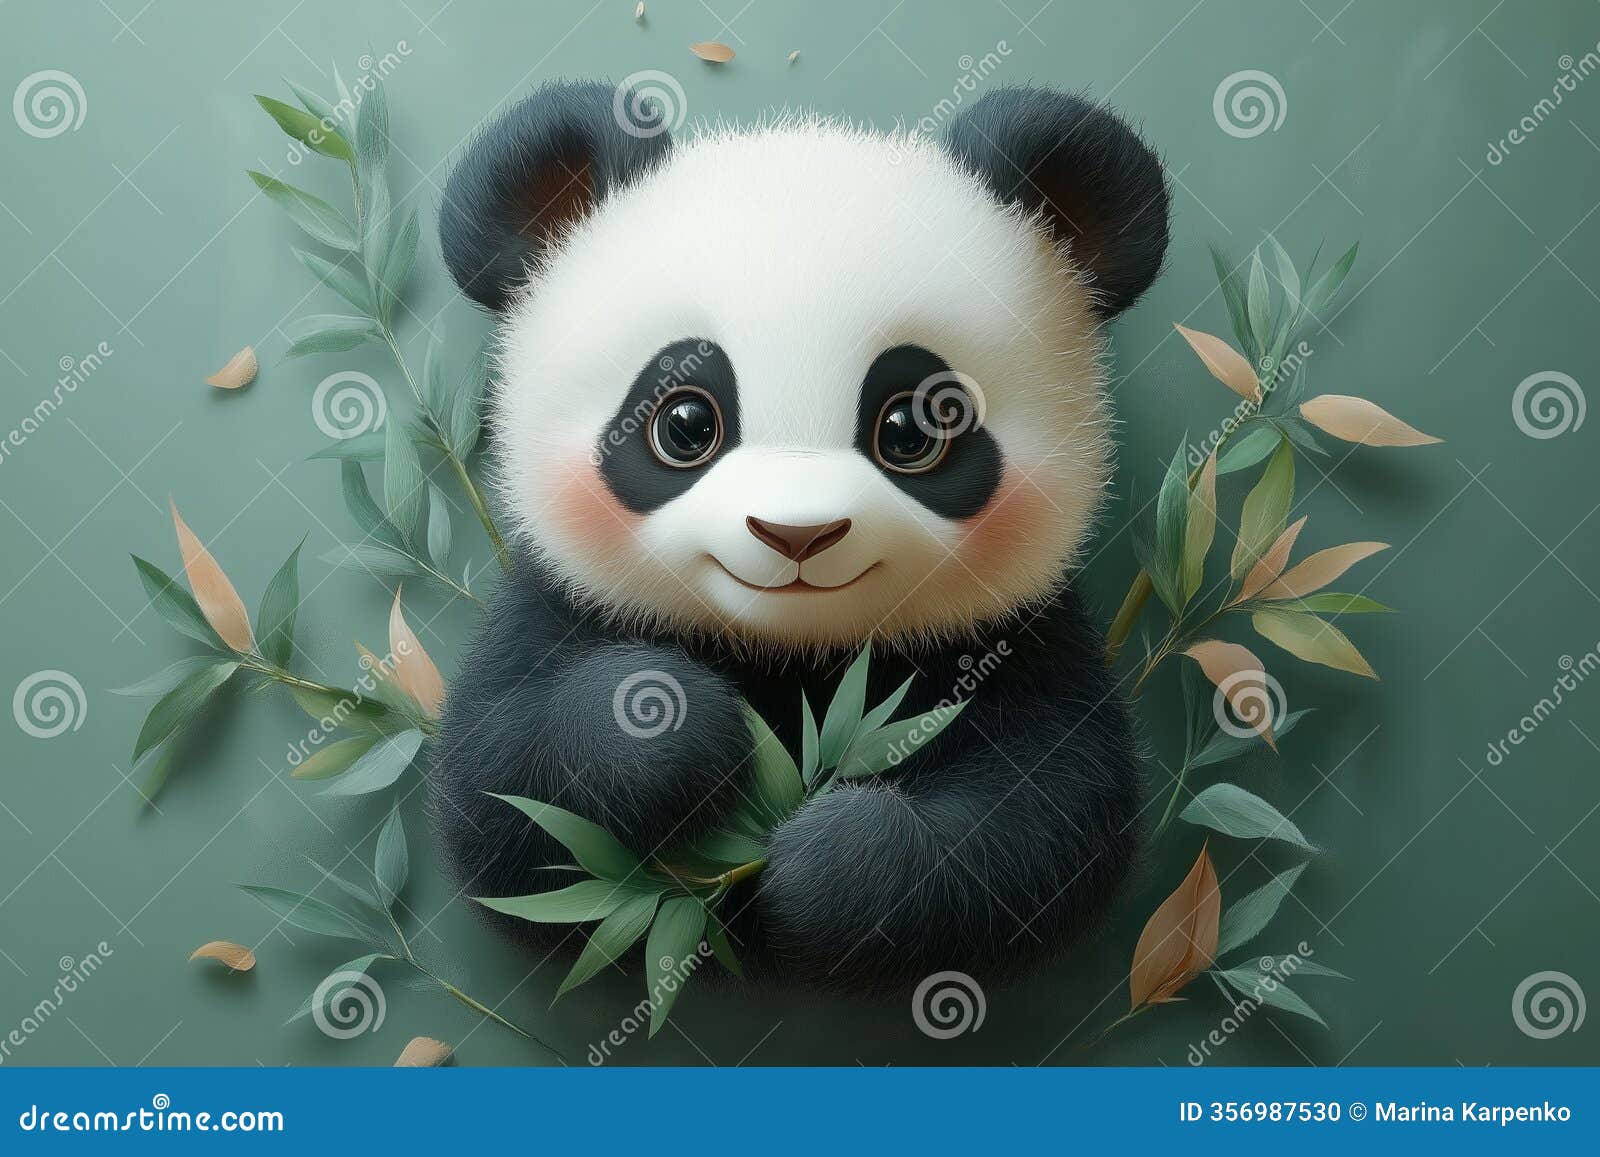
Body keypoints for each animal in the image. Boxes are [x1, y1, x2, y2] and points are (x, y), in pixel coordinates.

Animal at [430, 80, 1169, 995]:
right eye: (685, 422)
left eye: (913, 429)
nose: (797, 533)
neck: (793, 650)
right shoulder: (556, 606)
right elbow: (502, 804)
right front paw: (670, 718)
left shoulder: (1017, 635)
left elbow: (1050, 817)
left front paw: (831, 864)